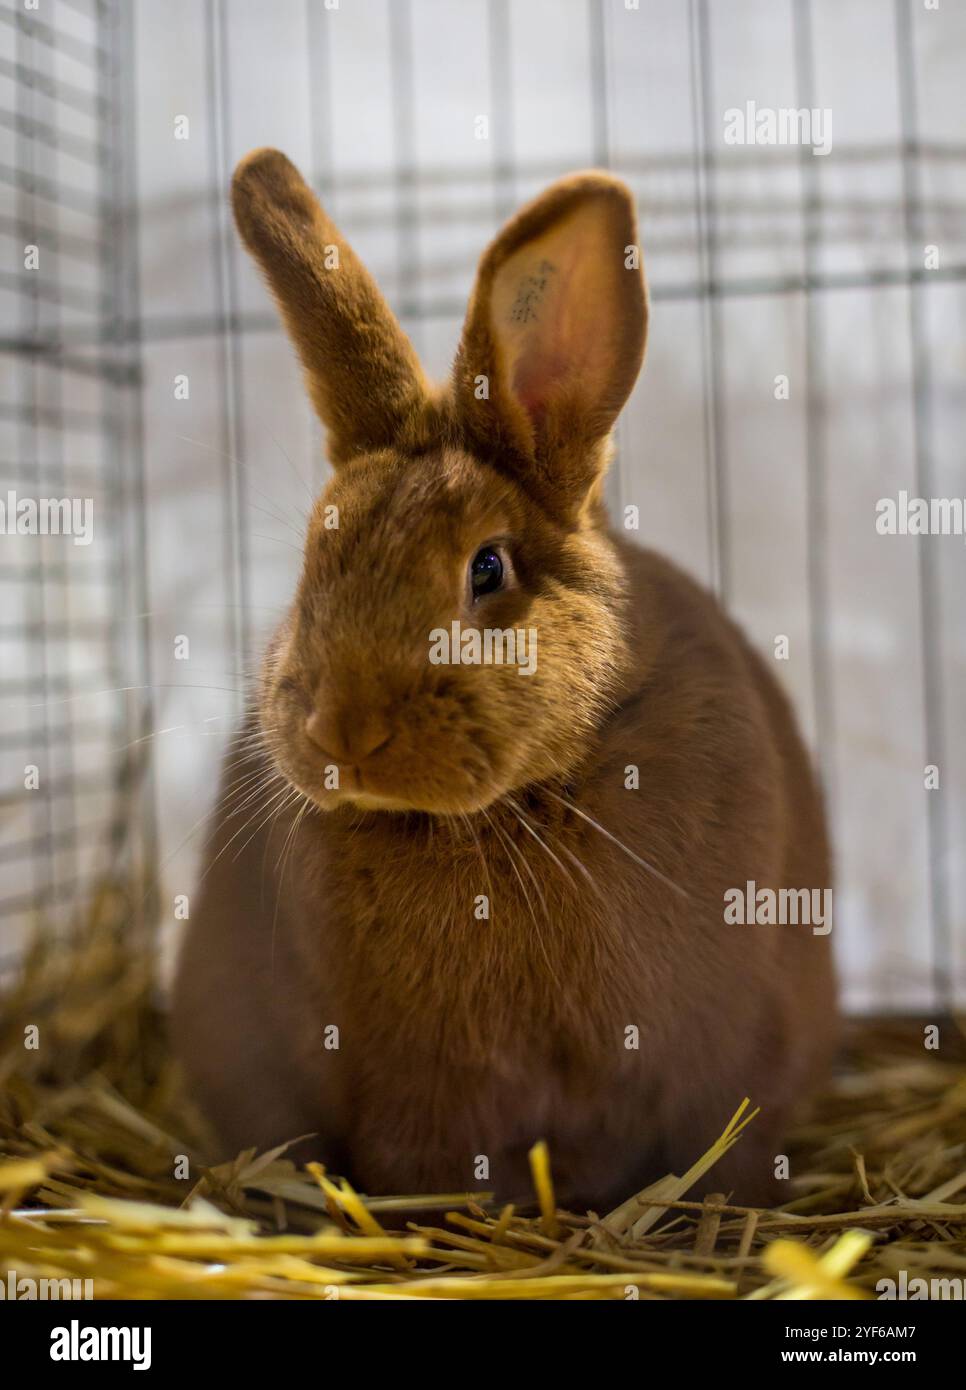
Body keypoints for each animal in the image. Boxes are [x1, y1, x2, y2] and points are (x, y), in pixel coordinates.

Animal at [171, 148, 837, 1212]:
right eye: (314, 561)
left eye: (487, 569)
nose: (340, 733)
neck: (510, 811)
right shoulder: (421, 1082)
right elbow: (431, 1156)